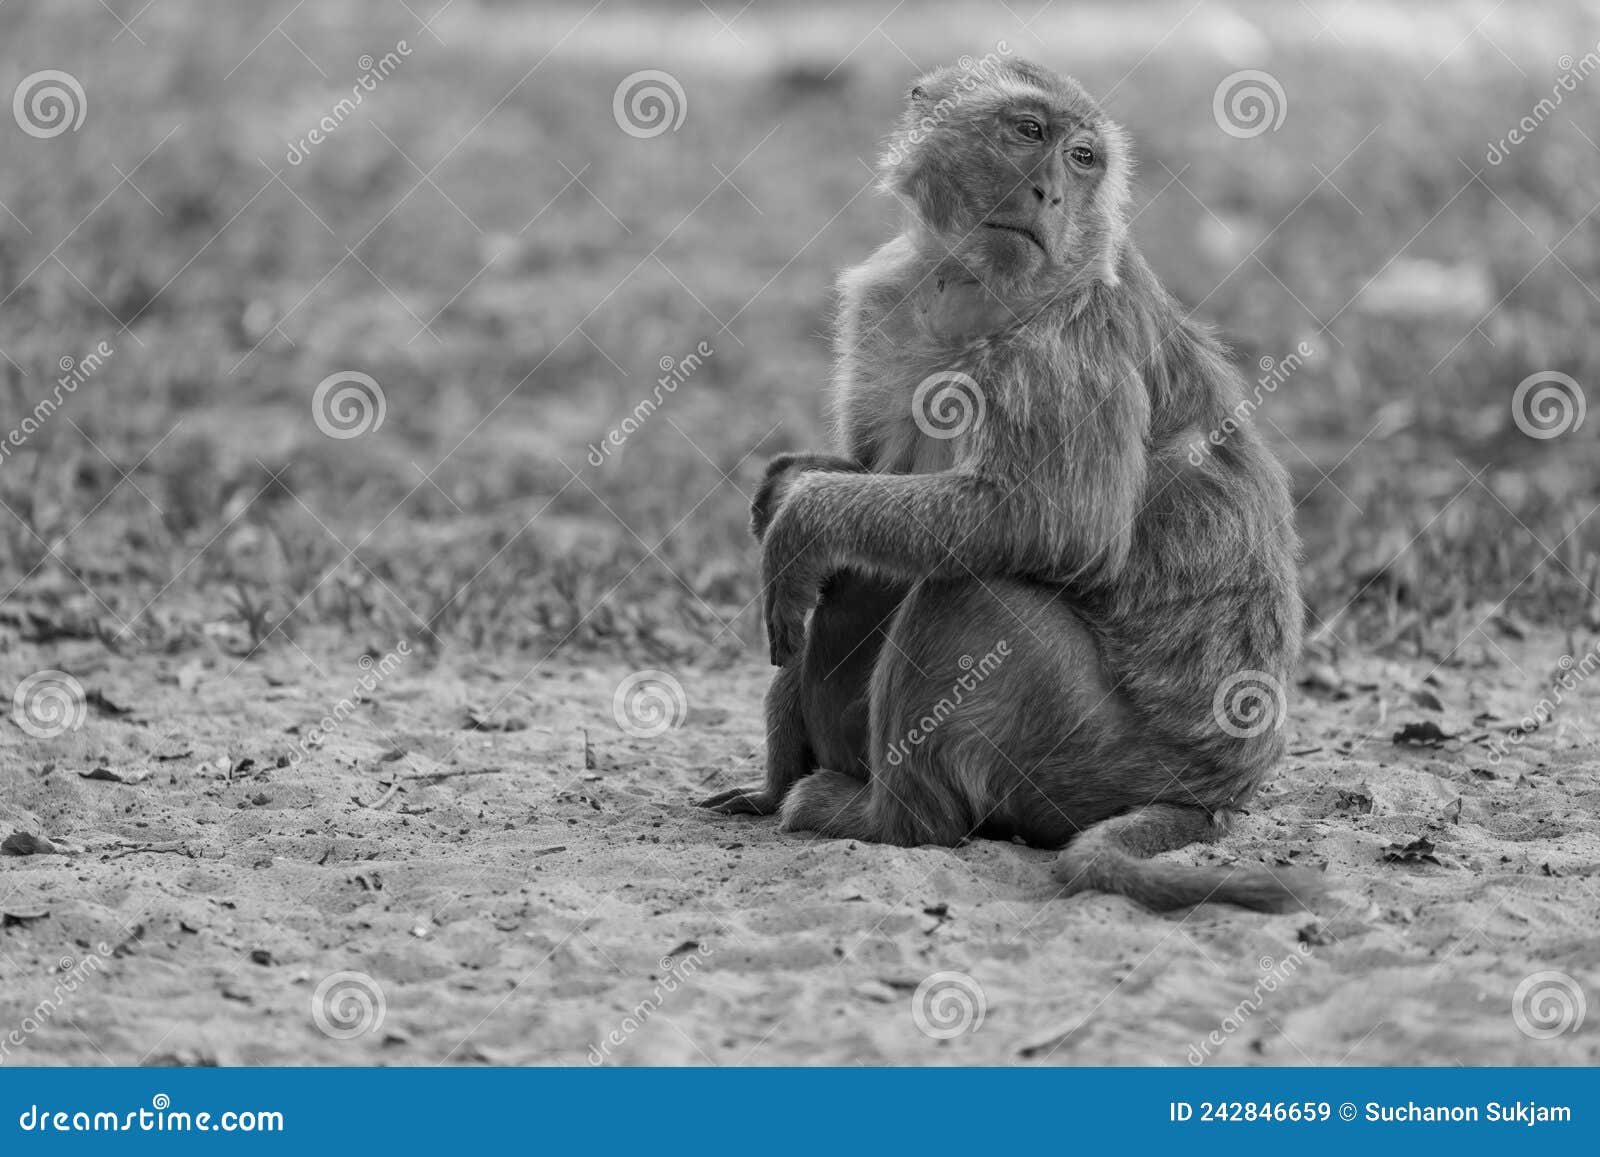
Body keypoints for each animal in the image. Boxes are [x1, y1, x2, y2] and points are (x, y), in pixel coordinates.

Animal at [700, 58, 1316, 912]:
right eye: (1029, 132)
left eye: (1082, 158)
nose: (1048, 193)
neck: (973, 285)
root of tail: (1218, 792)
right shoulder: (885, 303)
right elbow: (874, 485)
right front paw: (791, 484)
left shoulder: (1070, 344)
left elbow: (1058, 525)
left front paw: (802, 516)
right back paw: (777, 786)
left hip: (1096, 758)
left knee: (972, 592)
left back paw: (884, 816)